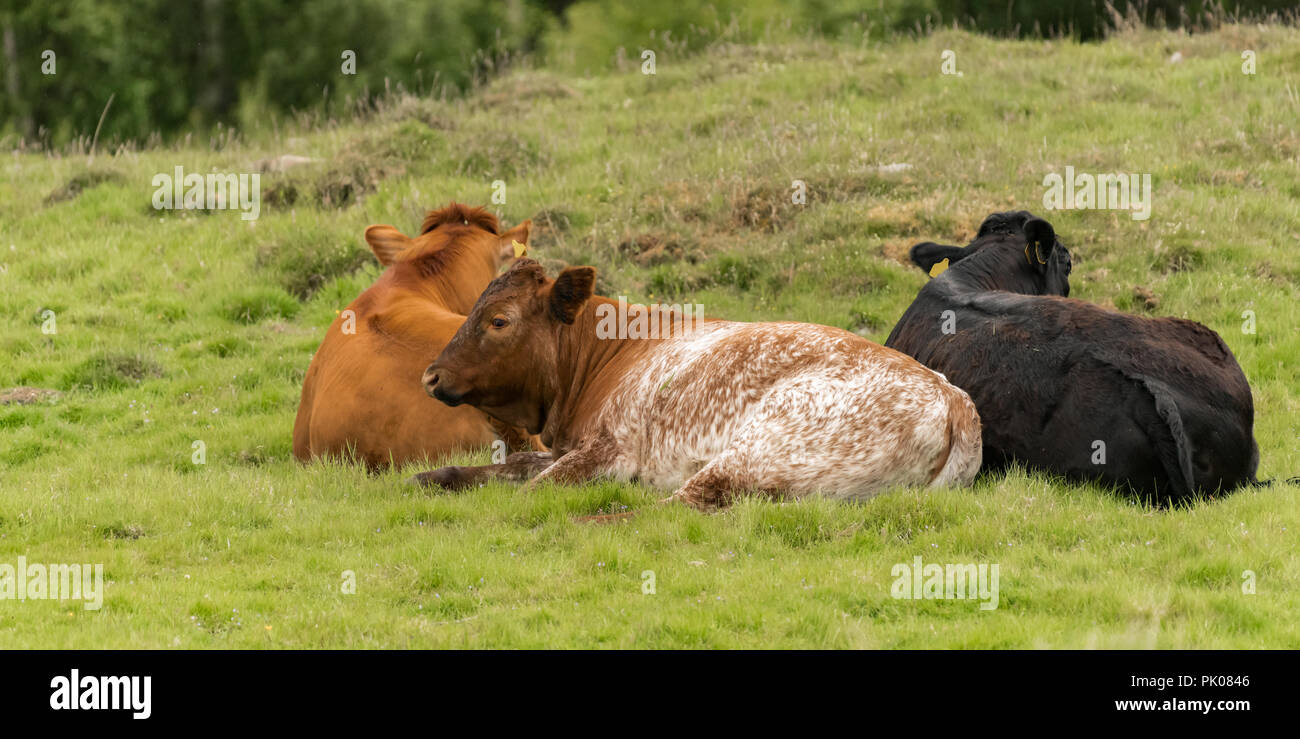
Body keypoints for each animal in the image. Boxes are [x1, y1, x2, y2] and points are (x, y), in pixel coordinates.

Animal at [408, 258, 982, 509]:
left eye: (499, 320)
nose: (431, 376)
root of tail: (949, 394)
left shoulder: (608, 450)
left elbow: (530, 488)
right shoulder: (564, 447)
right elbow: (508, 467)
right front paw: (434, 478)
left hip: (758, 451)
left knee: (671, 507)